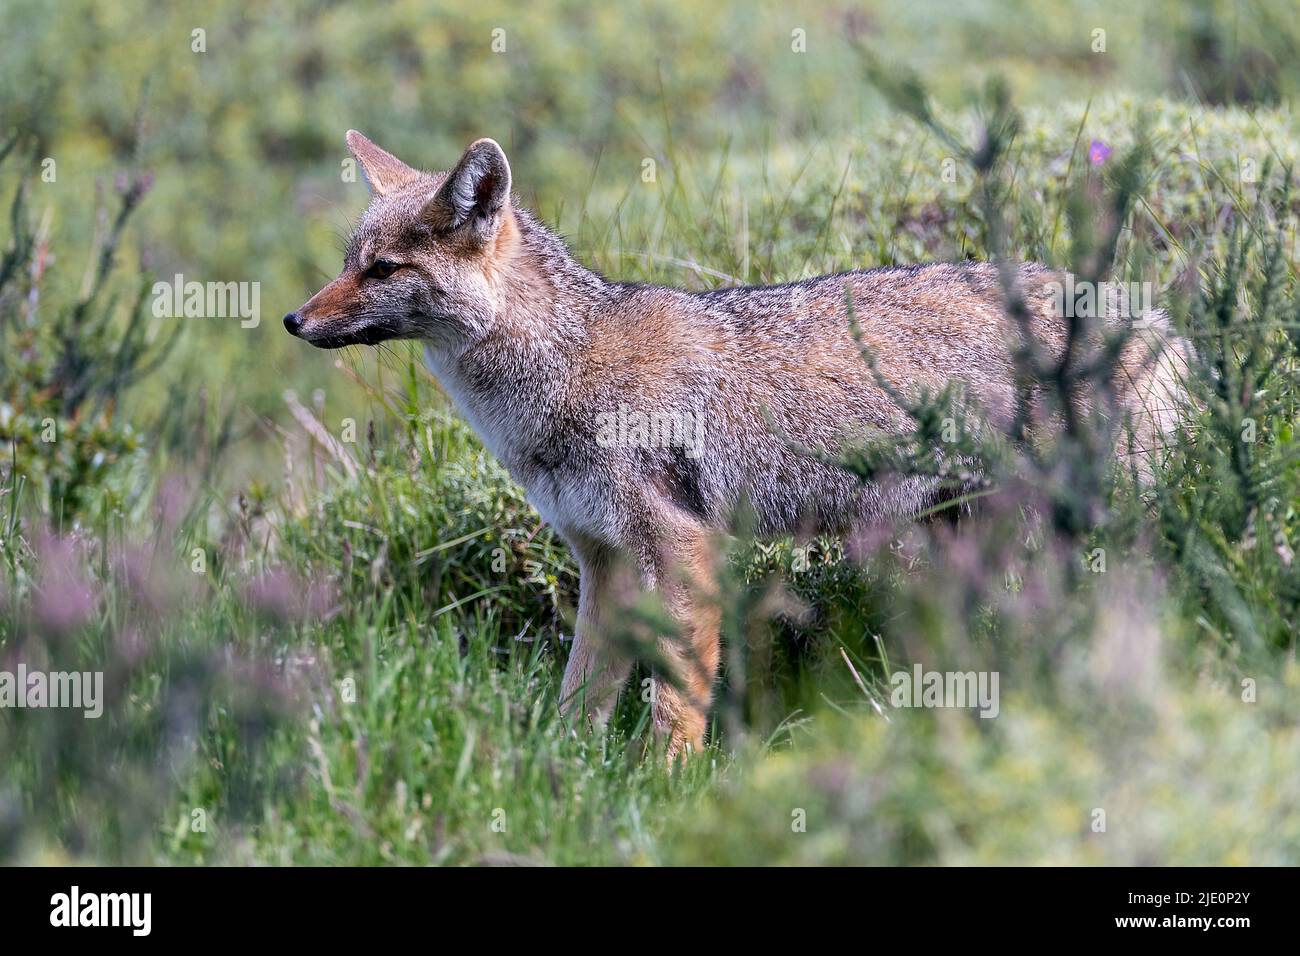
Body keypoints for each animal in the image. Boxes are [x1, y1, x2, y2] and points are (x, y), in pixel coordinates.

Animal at [284, 131, 1186, 758]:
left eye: (383, 269)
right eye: (348, 261)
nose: (293, 319)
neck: (563, 365)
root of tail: (1150, 315)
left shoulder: (683, 550)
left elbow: (676, 701)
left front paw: (662, 790)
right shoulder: (604, 563)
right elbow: (581, 699)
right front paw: (560, 773)